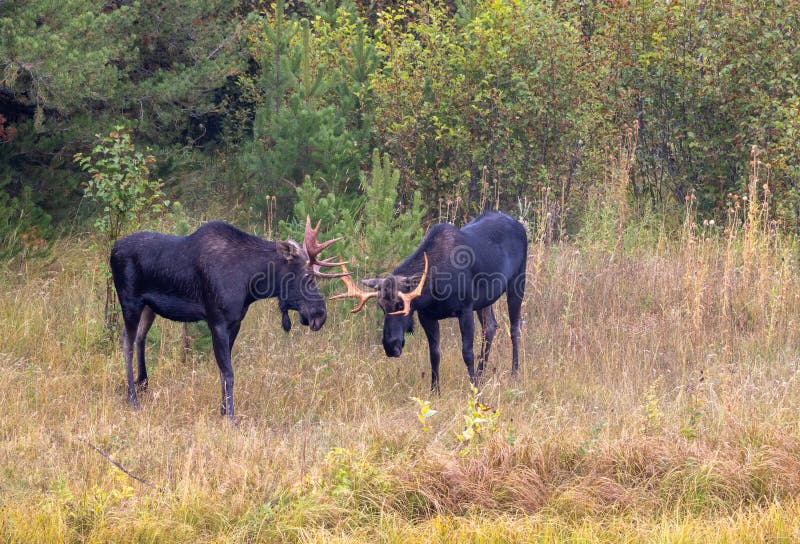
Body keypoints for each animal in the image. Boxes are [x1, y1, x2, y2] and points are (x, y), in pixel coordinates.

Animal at [109, 217, 344, 423]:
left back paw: (143, 385)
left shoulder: (235, 323)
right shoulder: (217, 321)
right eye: (308, 276)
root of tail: (112, 250)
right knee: (126, 342)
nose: (320, 314)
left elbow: (224, 372)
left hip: (149, 307)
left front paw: (223, 411)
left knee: (140, 339)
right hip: (130, 302)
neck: (251, 281)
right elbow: (228, 372)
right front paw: (232, 418)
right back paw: (133, 398)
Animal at [332, 211, 527, 391]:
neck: (434, 290)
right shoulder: (426, 315)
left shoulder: (465, 309)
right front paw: (434, 391)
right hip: (485, 301)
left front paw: (474, 389)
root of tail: (518, 224)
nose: (390, 346)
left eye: (401, 305)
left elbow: (467, 352)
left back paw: (514, 373)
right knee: (490, 327)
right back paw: (481, 374)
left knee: (514, 328)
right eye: (381, 307)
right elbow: (434, 354)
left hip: (517, 282)